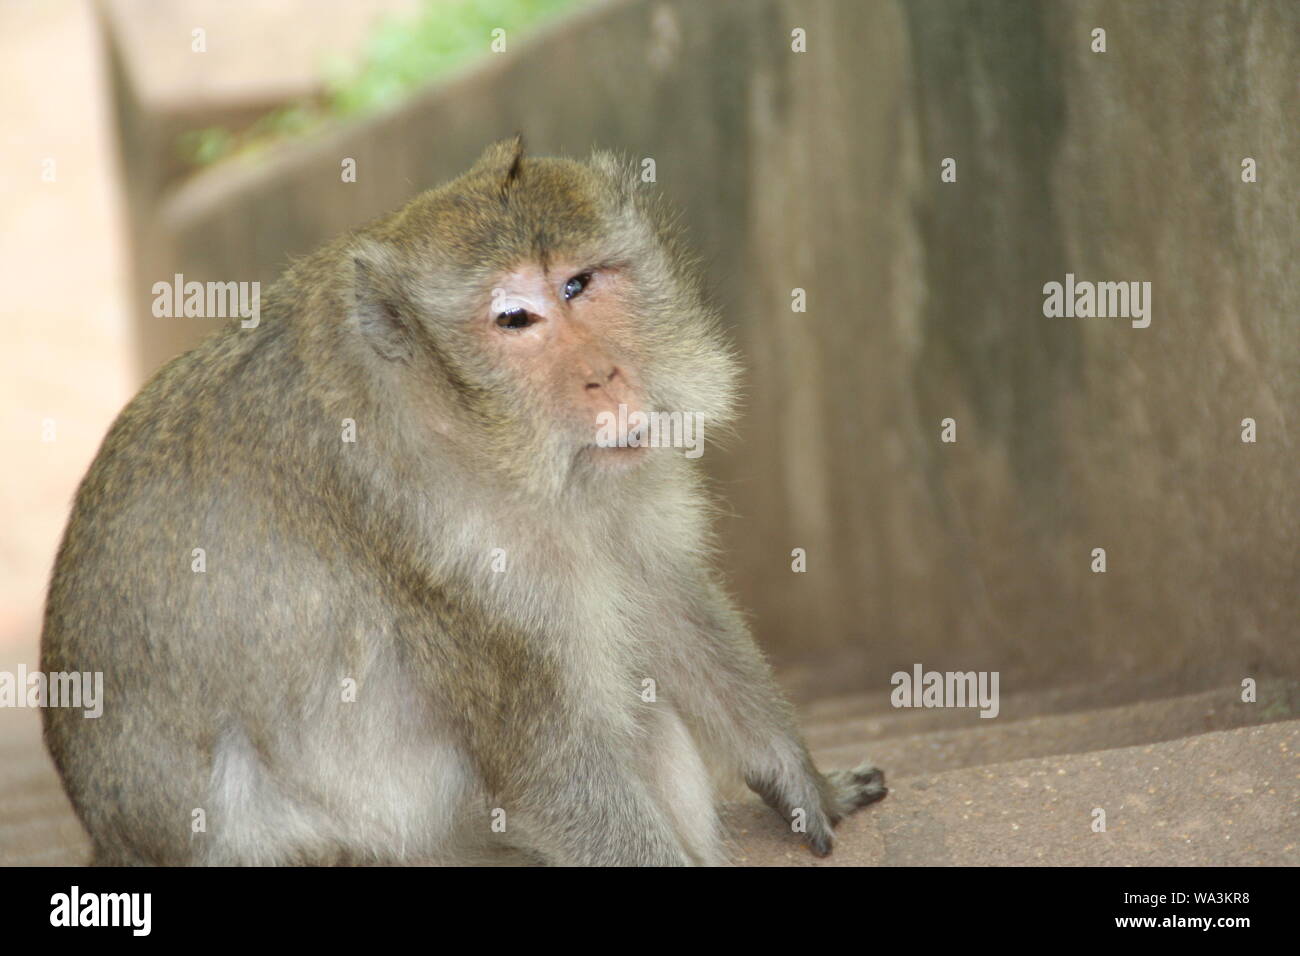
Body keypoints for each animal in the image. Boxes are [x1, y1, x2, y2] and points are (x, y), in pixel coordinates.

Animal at [41, 137, 885, 866]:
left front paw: (801, 781)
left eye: (579, 284)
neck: (465, 429)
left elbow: (665, 599)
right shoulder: (434, 541)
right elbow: (549, 771)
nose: (605, 376)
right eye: (514, 318)